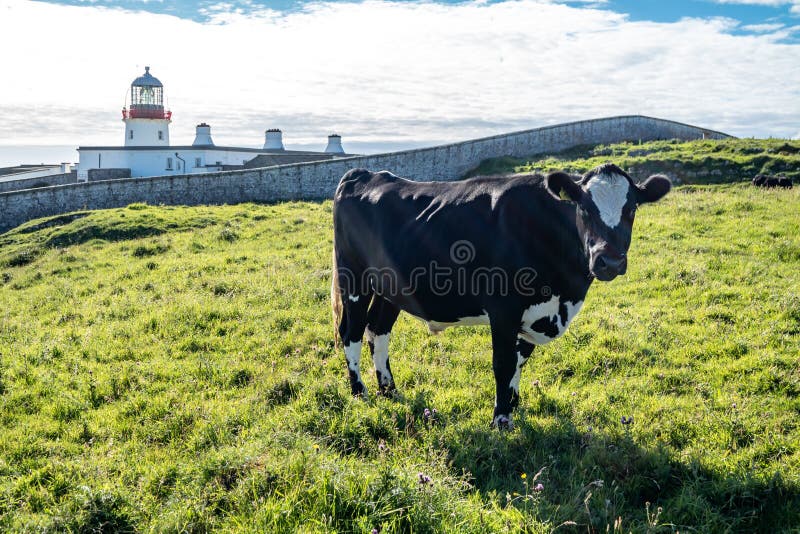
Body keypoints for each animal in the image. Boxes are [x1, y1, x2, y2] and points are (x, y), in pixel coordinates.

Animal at [331, 163, 671, 428]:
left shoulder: (536, 311)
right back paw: (359, 392)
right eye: (584, 209)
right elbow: (504, 362)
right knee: (352, 331)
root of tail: (363, 174)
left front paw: (513, 403)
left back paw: (389, 390)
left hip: (390, 288)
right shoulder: (504, 308)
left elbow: (521, 359)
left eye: (631, 209)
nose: (608, 261)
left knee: (378, 330)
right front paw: (501, 419)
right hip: (354, 276)